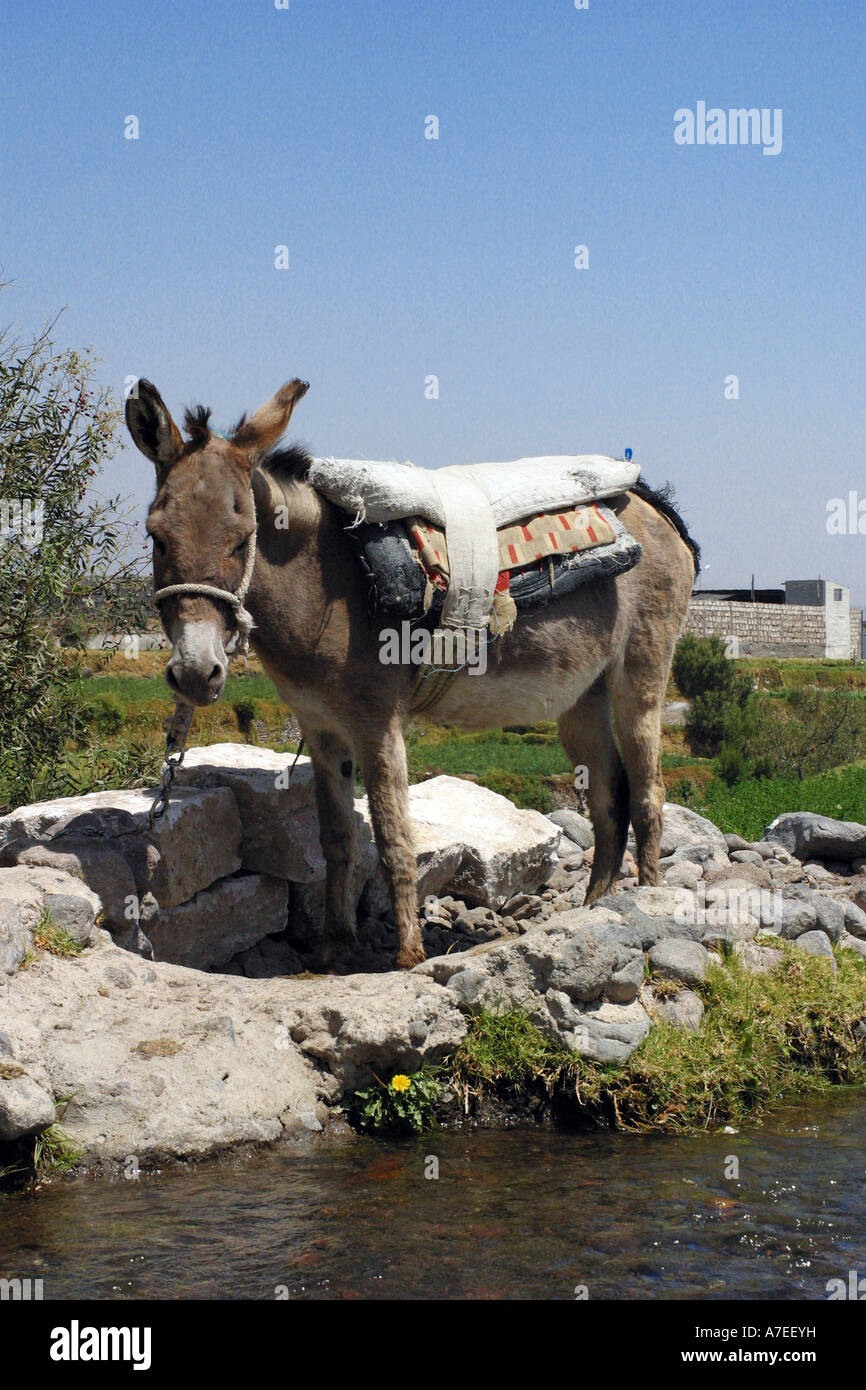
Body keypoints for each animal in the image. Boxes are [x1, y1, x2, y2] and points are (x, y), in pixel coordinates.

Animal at [126, 379, 699, 970]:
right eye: (156, 537)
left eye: (242, 539)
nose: (196, 674)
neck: (321, 583)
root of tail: (653, 504)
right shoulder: (322, 728)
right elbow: (336, 840)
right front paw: (335, 947)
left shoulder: (376, 722)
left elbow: (392, 834)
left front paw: (407, 954)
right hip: (579, 698)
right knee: (610, 797)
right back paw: (594, 908)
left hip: (640, 676)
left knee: (649, 791)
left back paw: (645, 899)